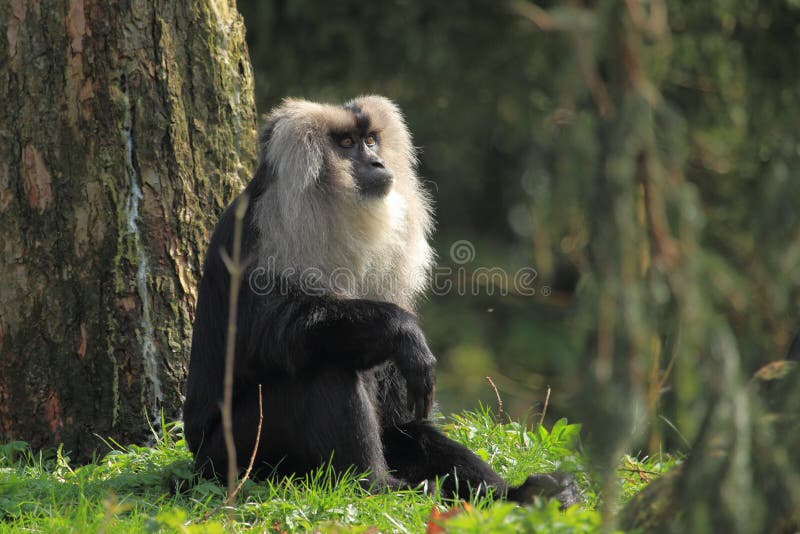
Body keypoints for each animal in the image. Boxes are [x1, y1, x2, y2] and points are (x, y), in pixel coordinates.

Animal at [182, 95, 580, 506]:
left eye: (371, 140)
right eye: (345, 144)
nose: (377, 163)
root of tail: (198, 457)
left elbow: (400, 413)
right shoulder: (259, 235)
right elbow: (268, 332)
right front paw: (403, 332)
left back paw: (520, 496)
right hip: (236, 453)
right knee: (325, 369)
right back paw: (378, 487)